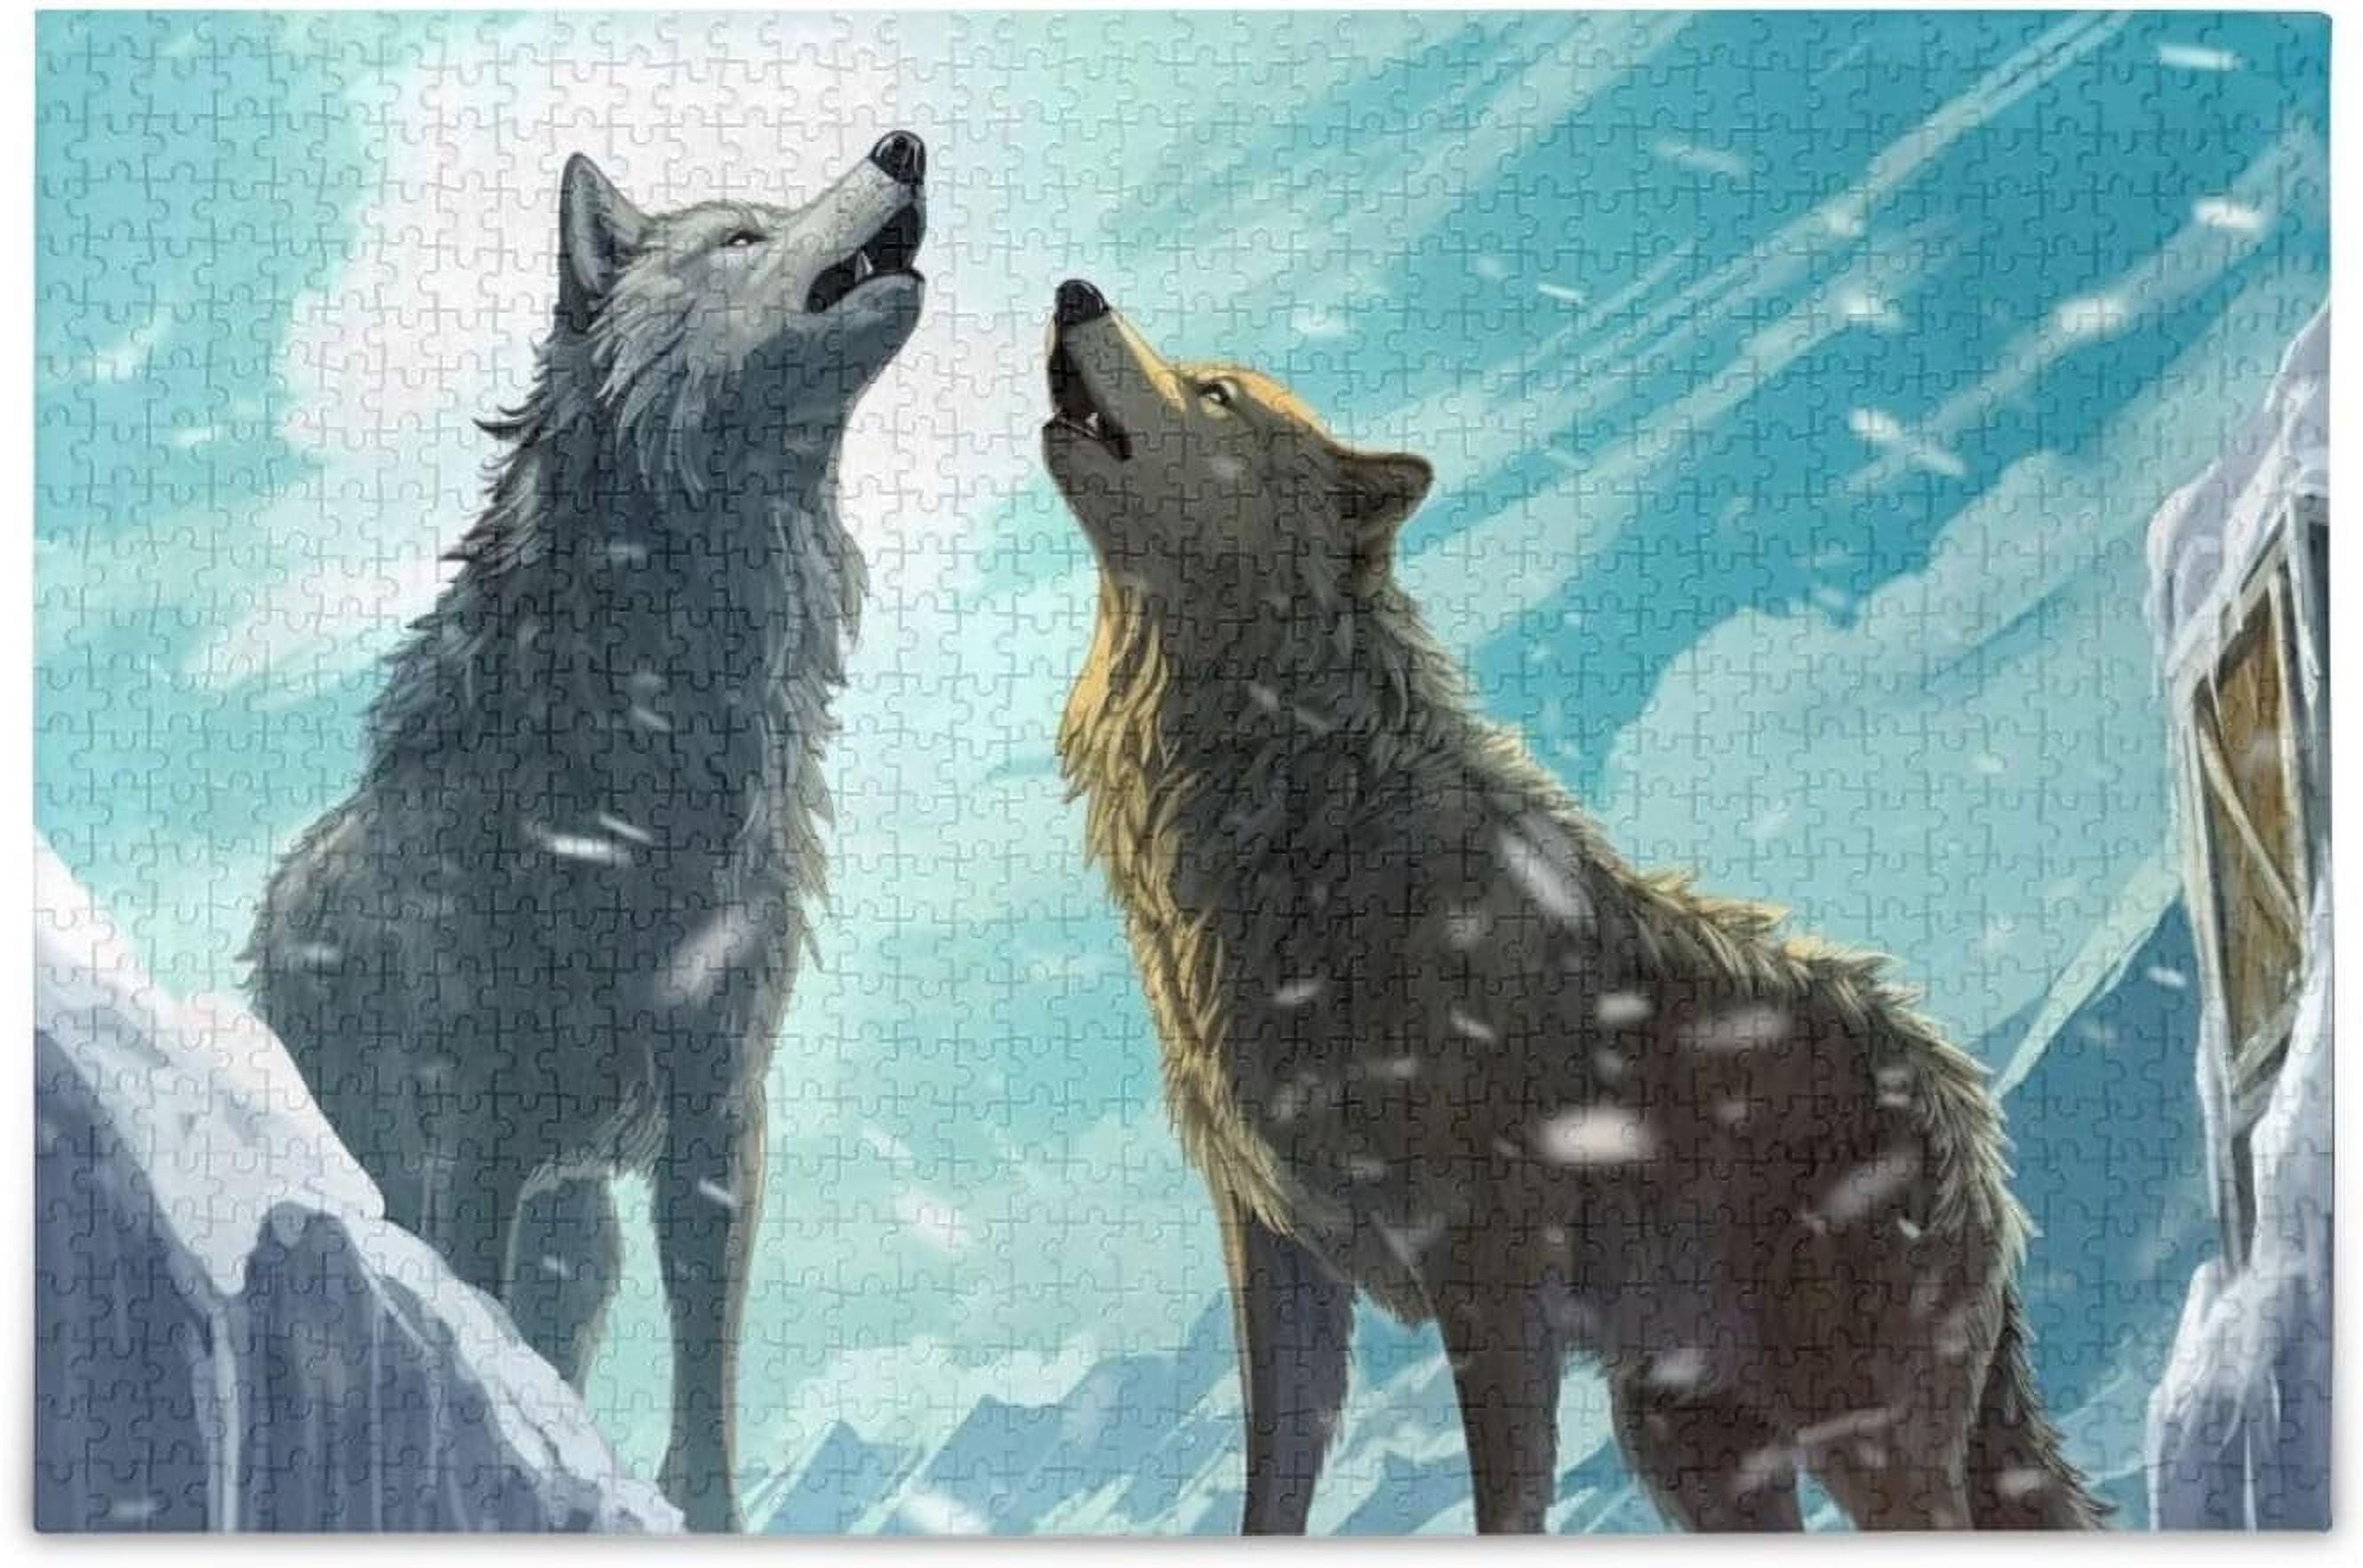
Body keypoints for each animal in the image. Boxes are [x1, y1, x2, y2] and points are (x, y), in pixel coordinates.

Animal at [245, 135, 928, 1531]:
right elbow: (468, 1310)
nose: (905, 148)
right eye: (739, 236)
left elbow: (707, 1365)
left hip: (580, 1243)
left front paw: (706, 1521)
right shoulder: (475, 1132)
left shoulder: (718, 1109)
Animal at [1040, 279, 2105, 1535]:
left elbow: (1505, 1496)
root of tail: (1976, 1127)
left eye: (1214, 395)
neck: (1292, 796)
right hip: (1687, 1450)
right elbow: (1272, 1489)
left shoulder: (1489, 1274)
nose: (1072, 293)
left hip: (1862, 1438)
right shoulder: (1276, 1257)